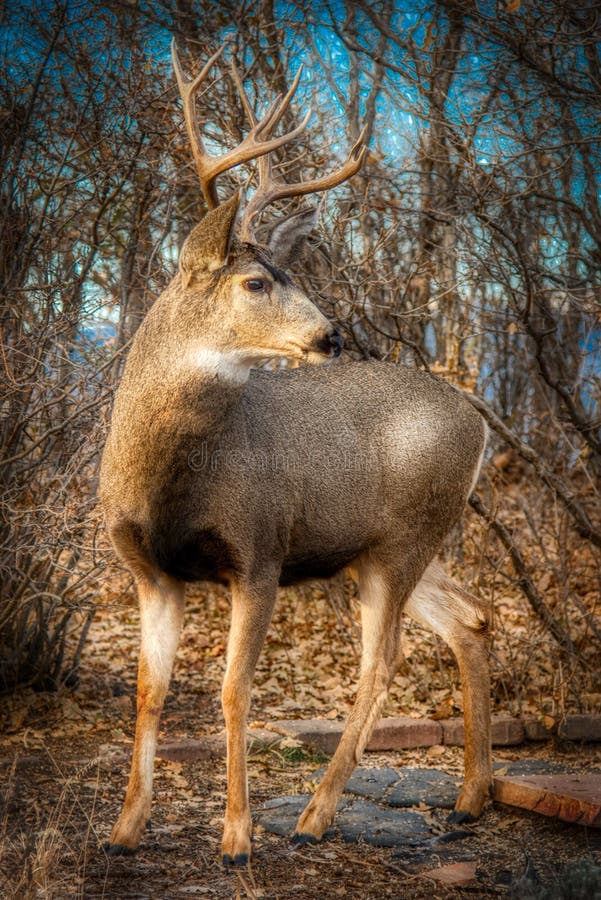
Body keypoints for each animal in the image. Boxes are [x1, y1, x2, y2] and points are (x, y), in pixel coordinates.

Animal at [99, 42, 492, 866]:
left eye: (296, 277)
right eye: (256, 281)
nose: (330, 335)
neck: (172, 483)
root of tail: (476, 414)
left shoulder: (261, 551)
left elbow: (231, 691)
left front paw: (236, 838)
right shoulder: (150, 571)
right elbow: (151, 691)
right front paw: (123, 831)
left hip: (403, 542)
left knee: (383, 660)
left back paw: (316, 814)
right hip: (387, 547)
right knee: (470, 619)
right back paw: (470, 800)